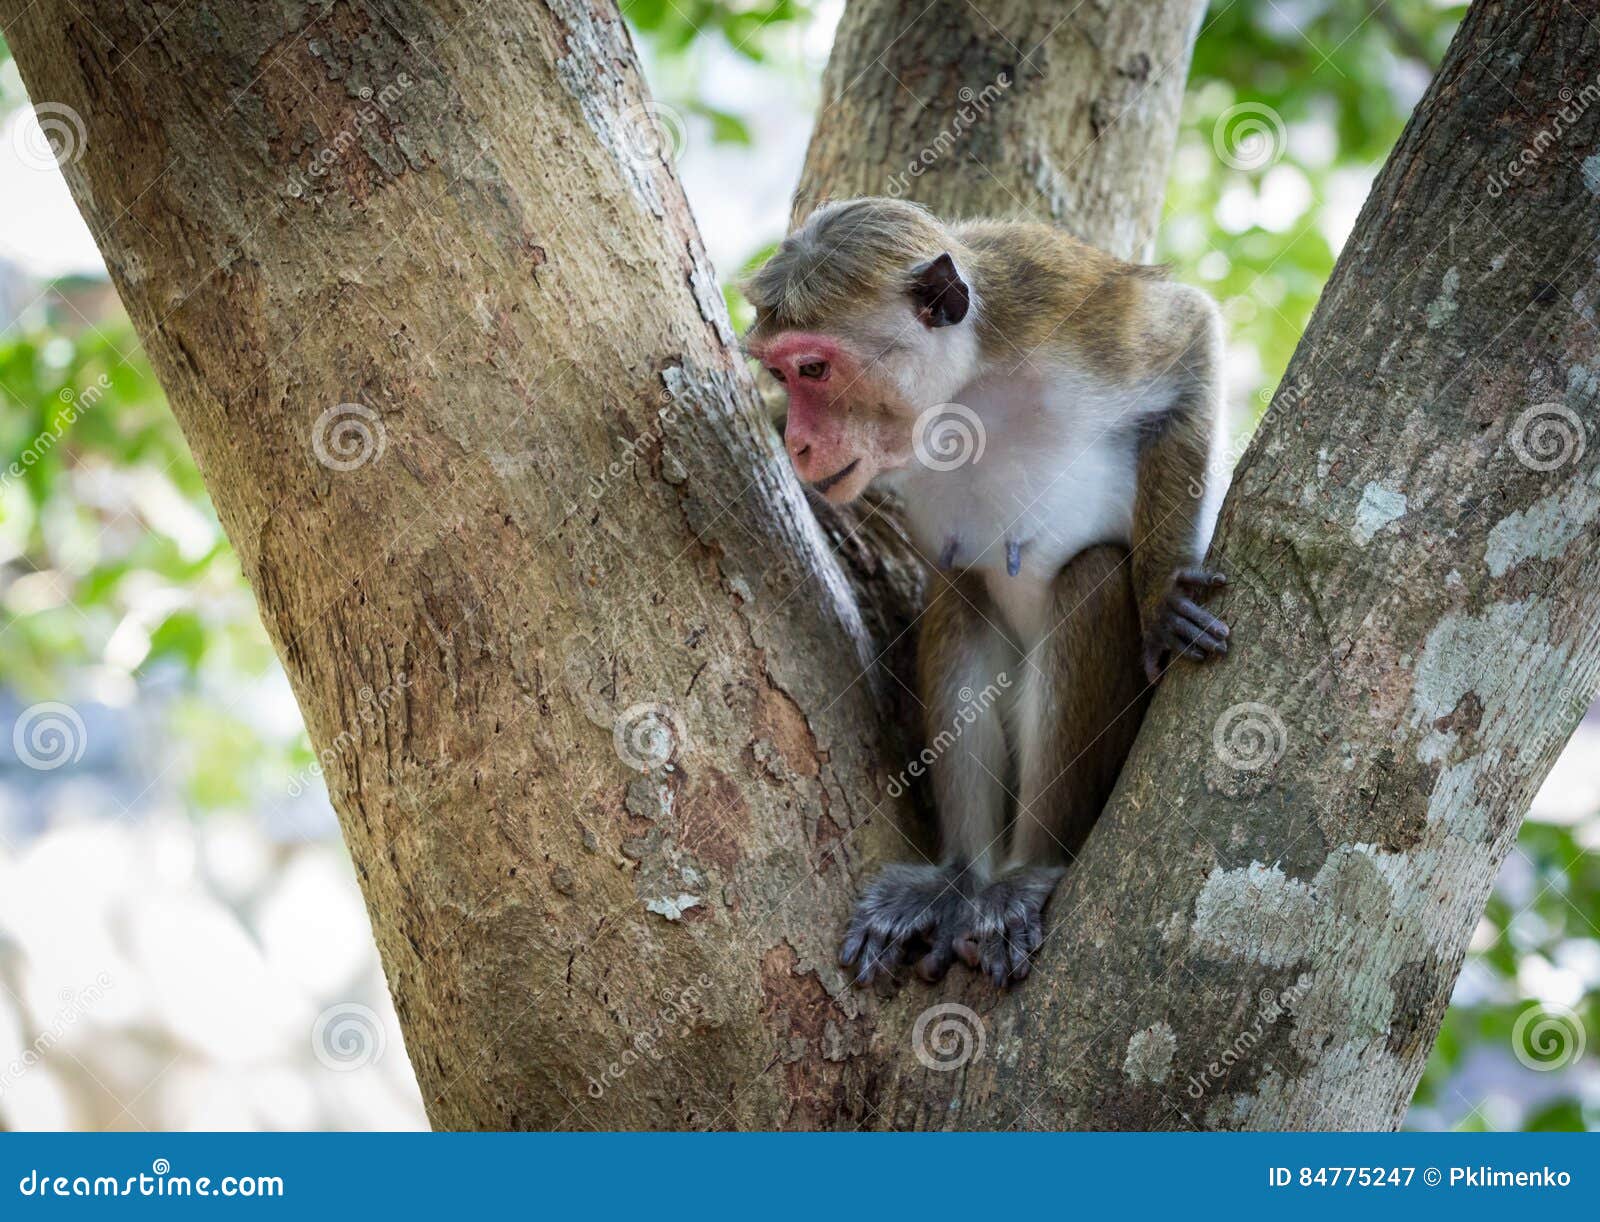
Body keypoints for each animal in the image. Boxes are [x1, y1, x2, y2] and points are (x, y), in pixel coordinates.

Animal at [743, 197, 1230, 988]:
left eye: (814, 368)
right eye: (785, 377)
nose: (798, 445)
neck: (963, 391)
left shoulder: (1060, 308)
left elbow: (1190, 338)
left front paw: (1161, 594)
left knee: (1091, 580)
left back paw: (1024, 875)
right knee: (960, 593)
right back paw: (961, 879)